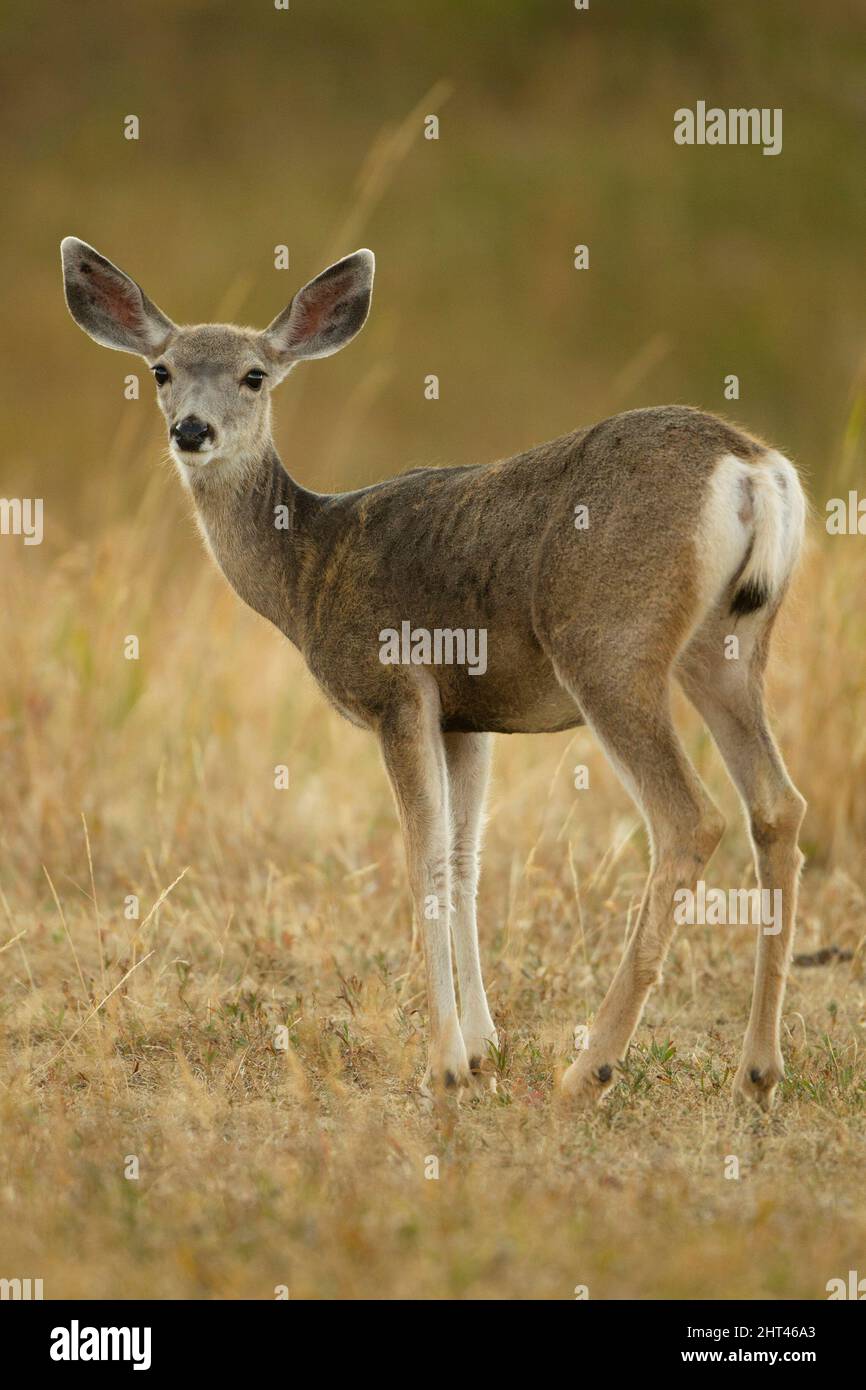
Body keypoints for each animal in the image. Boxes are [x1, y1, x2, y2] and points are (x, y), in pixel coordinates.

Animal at [61, 236, 807, 1109]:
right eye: (161, 370)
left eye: (254, 375)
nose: (191, 429)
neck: (306, 569)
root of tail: (752, 467)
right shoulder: (465, 715)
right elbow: (463, 859)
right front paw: (484, 1047)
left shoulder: (397, 687)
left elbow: (420, 857)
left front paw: (444, 1063)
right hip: (728, 647)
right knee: (777, 806)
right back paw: (757, 1070)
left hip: (609, 646)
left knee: (691, 820)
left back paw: (588, 1069)